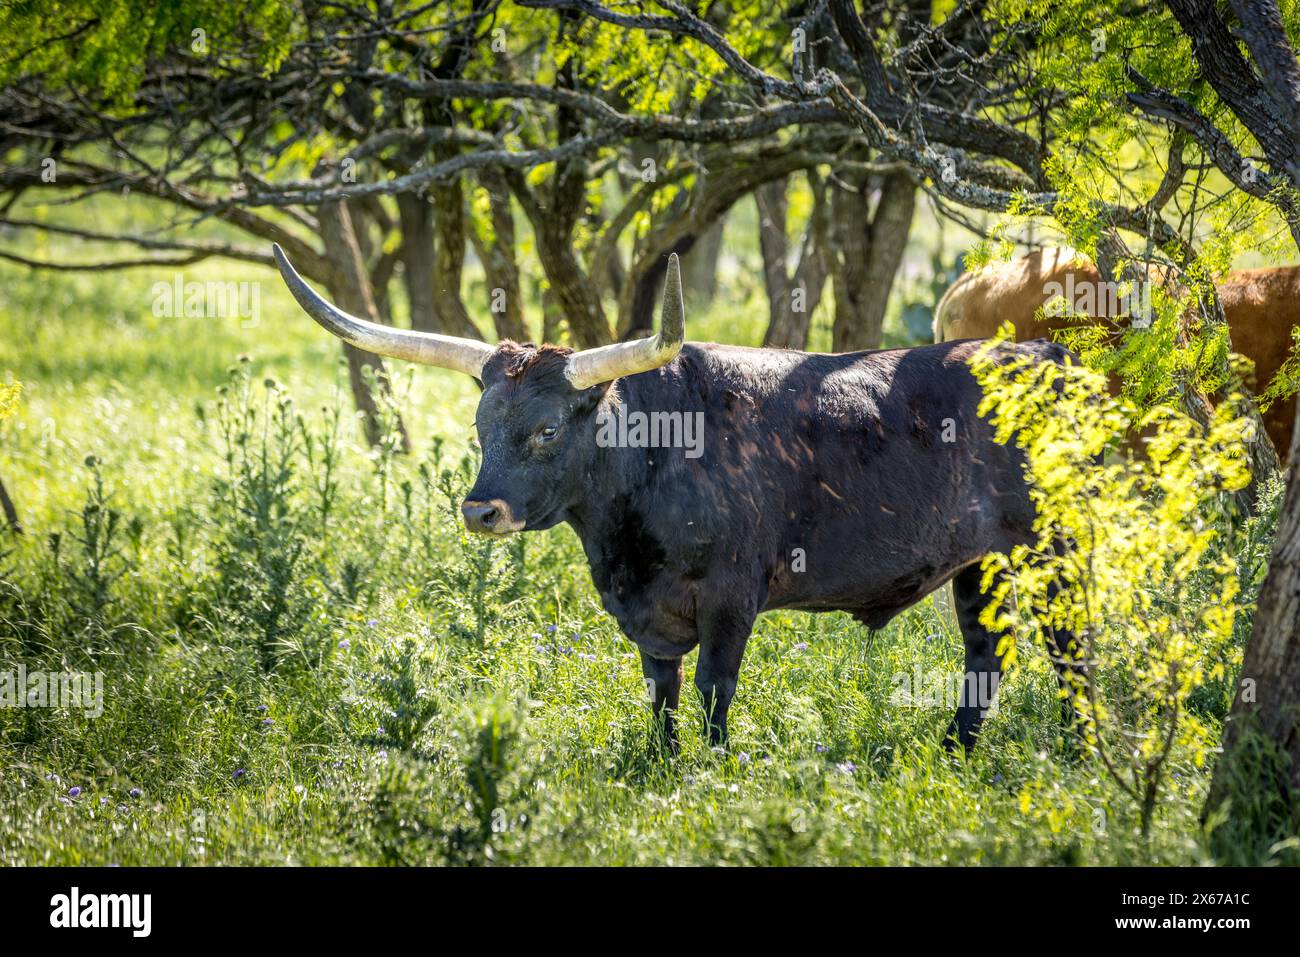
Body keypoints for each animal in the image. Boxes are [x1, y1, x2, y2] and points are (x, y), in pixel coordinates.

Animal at [274, 243, 1080, 752]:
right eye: (480, 427)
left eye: (544, 429)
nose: (481, 511)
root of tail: (1044, 355)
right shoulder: (647, 617)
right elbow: (662, 689)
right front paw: (663, 762)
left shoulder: (731, 596)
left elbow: (714, 689)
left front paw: (714, 767)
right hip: (982, 560)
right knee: (987, 648)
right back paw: (954, 750)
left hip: (1056, 549)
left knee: (1069, 648)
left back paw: (1077, 747)